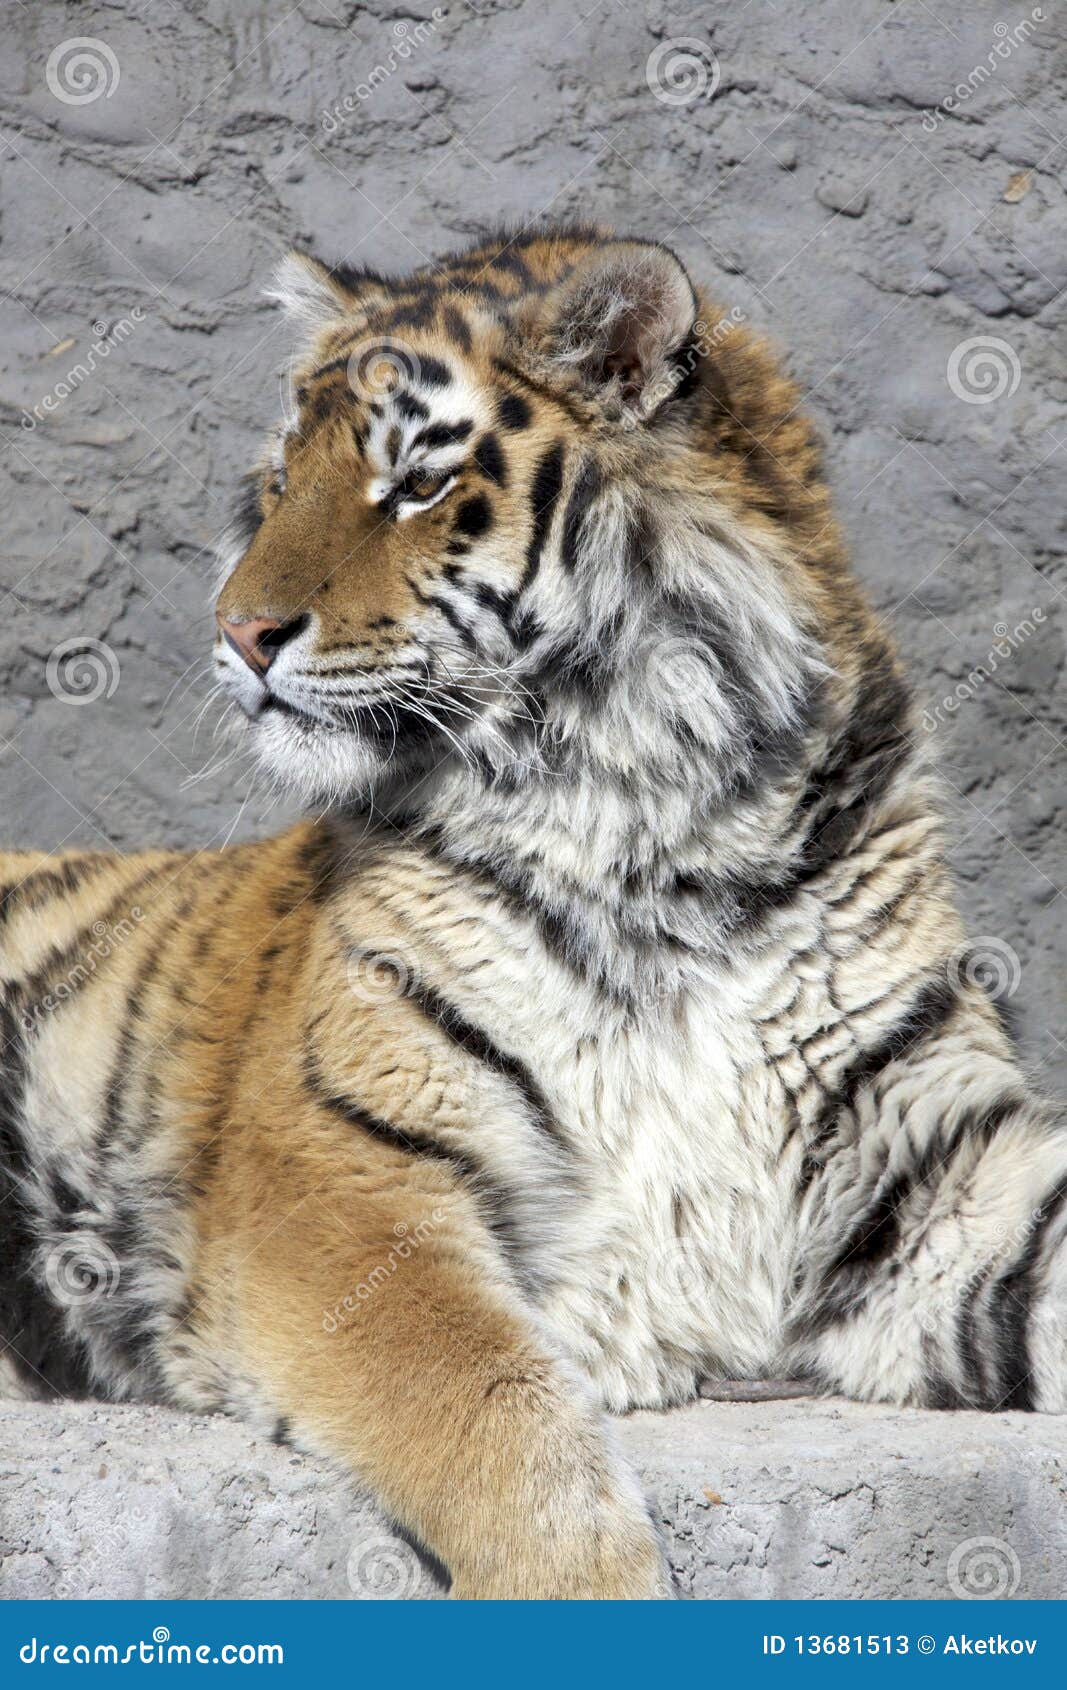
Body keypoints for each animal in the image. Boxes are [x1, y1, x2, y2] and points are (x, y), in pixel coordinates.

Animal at [2, 224, 1065, 1601]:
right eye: (281, 479)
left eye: (411, 483)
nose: (237, 632)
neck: (659, 842)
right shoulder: (340, 1175)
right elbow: (492, 1412)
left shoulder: (937, 1168)